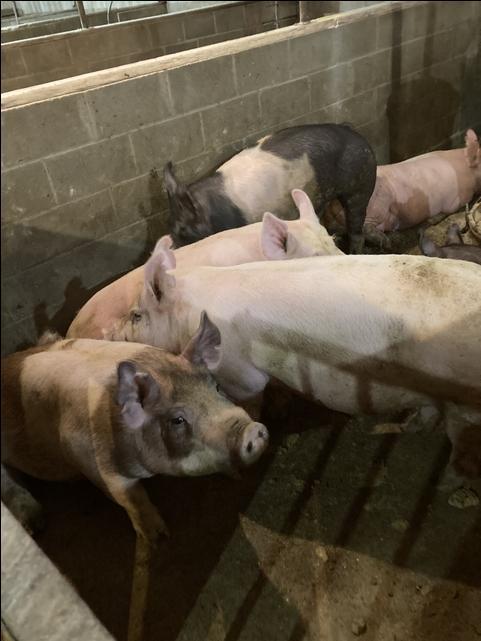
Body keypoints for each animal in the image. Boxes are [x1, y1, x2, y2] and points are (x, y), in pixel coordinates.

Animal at [1, 316, 268, 544]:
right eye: (177, 420)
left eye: (216, 387)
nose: (253, 430)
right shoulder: (99, 466)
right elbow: (133, 499)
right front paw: (158, 538)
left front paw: (236, 475)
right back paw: (36, 525)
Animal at [109, 247, 481, 480]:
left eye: (136, 315)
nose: (110, 334)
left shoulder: (239, 372)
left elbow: (250, 399)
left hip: (466, 405)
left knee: (462, 447)